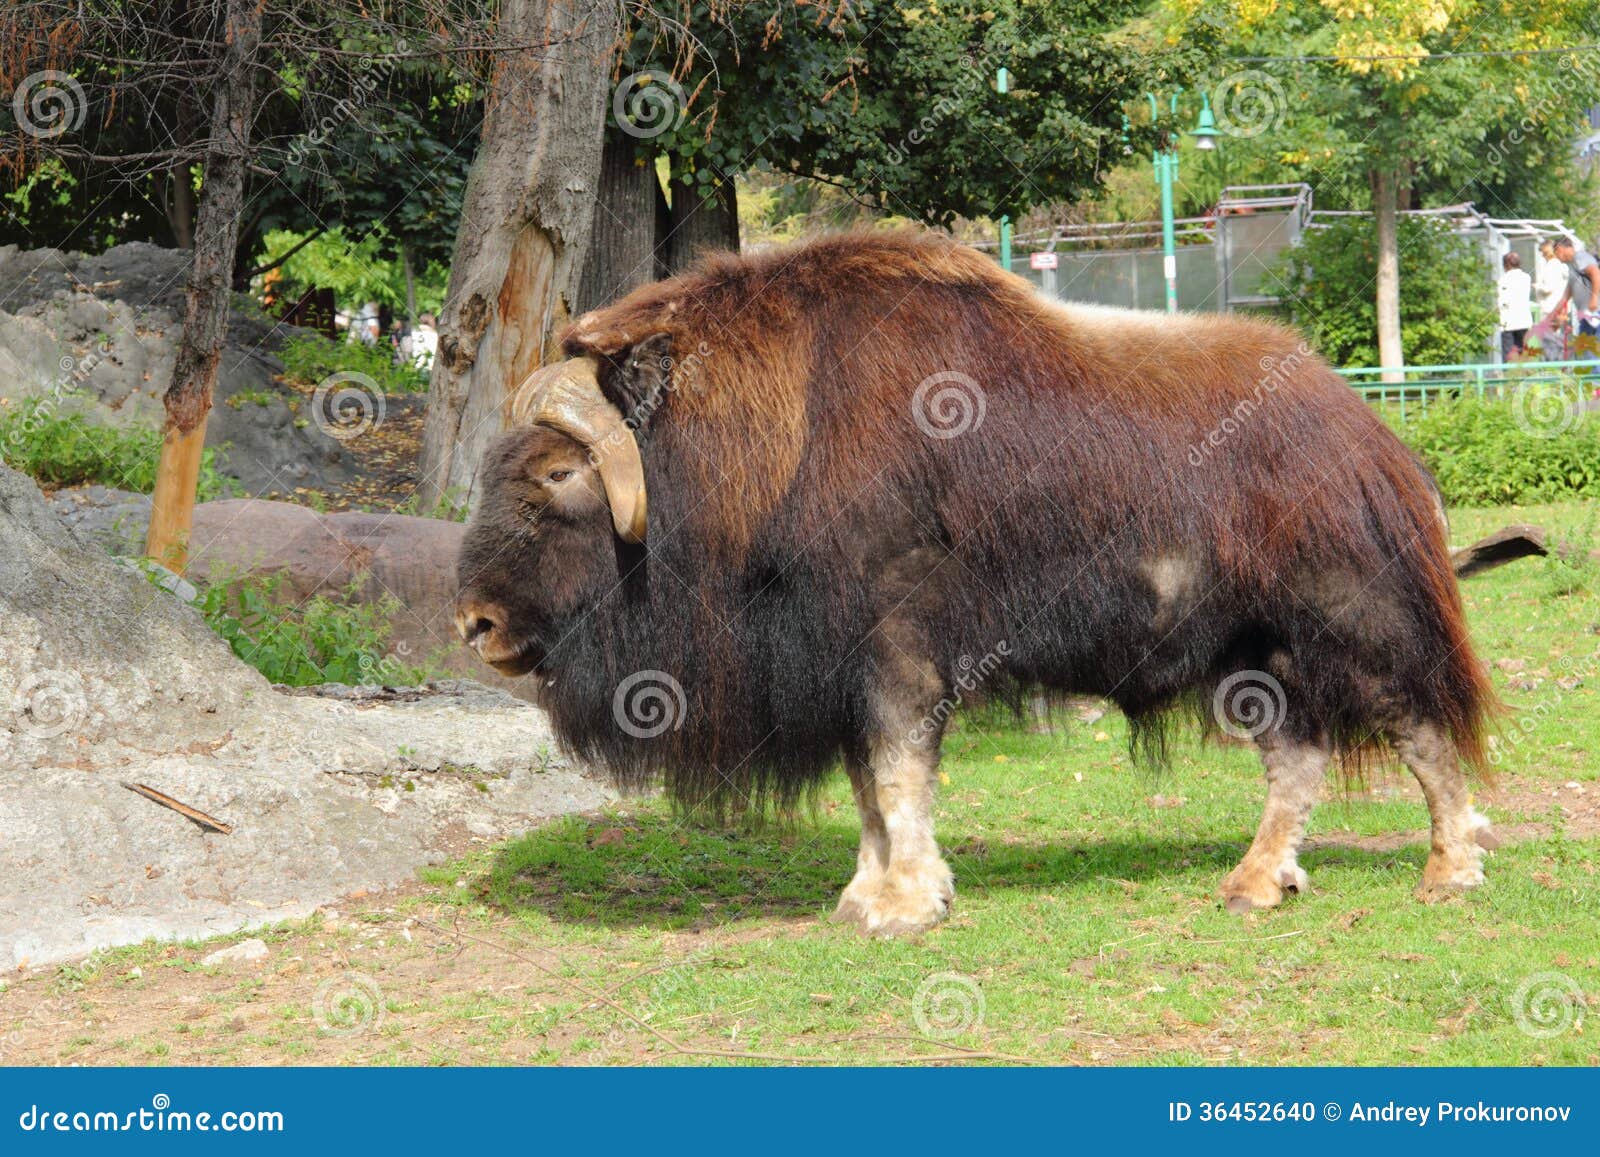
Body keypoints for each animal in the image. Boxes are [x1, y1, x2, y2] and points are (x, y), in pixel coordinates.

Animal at [455, 231, 1496, 937]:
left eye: (559, 471)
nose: (474, 621)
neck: (761, 441)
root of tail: (1367, 435)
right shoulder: (840, 659)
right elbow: (867, 784)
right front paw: (865, 894)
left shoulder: (895, 642)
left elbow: (898, 768)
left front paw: (907, 905)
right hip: (1253, 656)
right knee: (1298, 756)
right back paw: (1255, 882)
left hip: (1349, 619)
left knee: (1420, 726)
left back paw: (1448, 870)